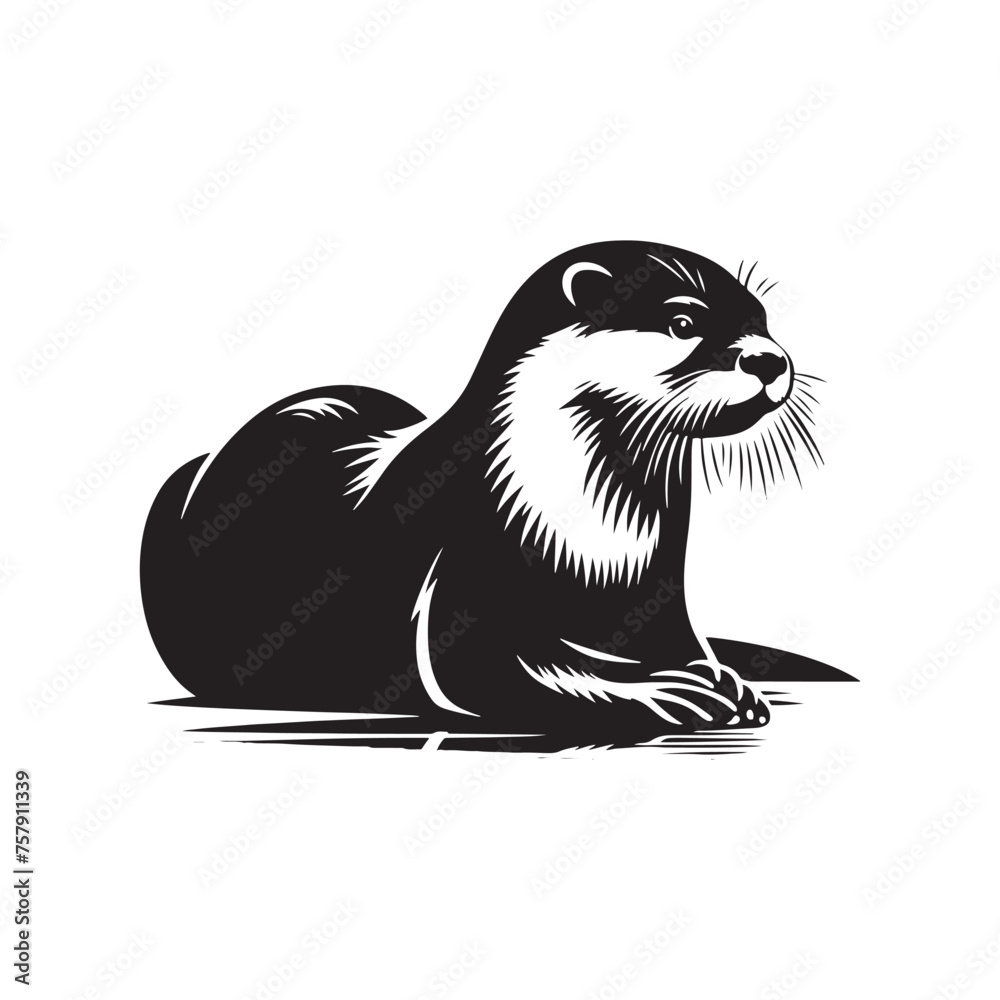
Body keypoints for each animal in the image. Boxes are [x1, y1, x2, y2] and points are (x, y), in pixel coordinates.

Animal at [140, 241, 825, 742]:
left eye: (763, 322)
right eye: (683, 322)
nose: (768, 360)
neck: (592, 539)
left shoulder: (658, 586)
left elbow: (681, 640)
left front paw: (728, 681)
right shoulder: (466, 563)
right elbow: (492, 668)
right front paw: (664, 693)